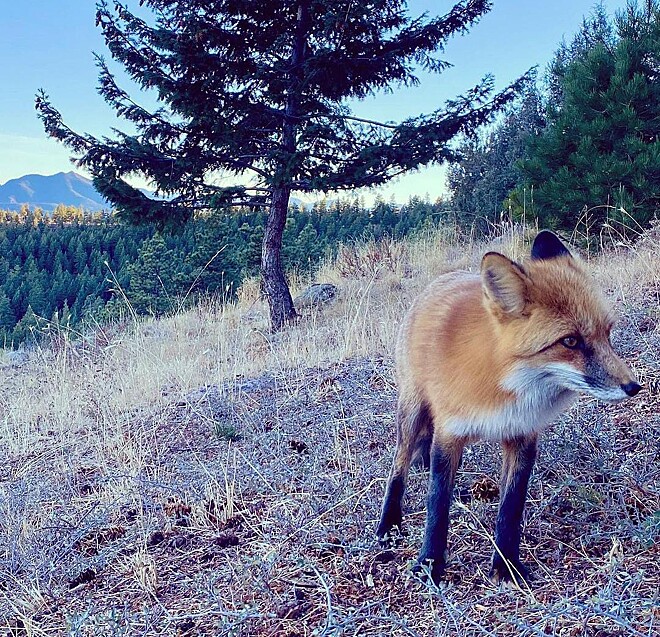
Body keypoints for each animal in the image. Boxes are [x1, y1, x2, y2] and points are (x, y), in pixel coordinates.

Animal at [376, 230, 641, 586]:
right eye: (570, 341)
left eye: (607, 334)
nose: (633, 387)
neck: (502, 383)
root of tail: (439, 281)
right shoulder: (448, 433)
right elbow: (436, 505)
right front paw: (430, 562)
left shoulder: (522, 436)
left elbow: (510, 509)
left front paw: (506, 565)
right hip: (412, 412)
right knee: (399, 467)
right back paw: (389, 524)